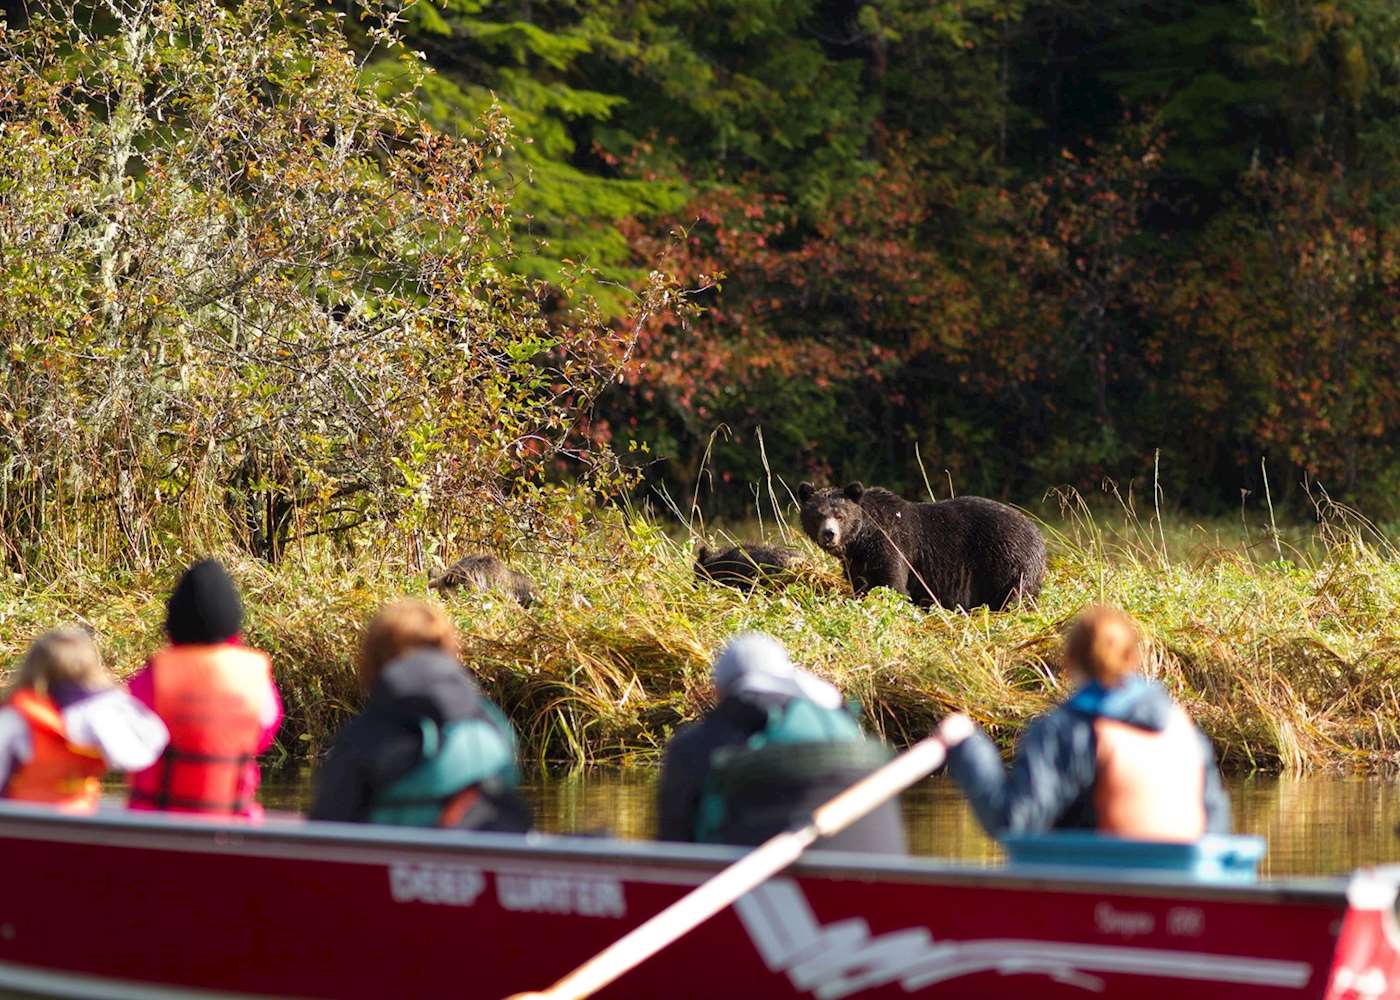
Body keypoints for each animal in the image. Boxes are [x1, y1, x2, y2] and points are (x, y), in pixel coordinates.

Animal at [797, 482, 1046, 611]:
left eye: (840, 515)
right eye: (818, 514)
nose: (829, 534)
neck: (862, 539)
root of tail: (1039, 536)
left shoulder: (893, 545)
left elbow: (893, 585)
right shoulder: (858, 562)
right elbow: (862, 585)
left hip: (1008, 561)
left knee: (1014, 595)